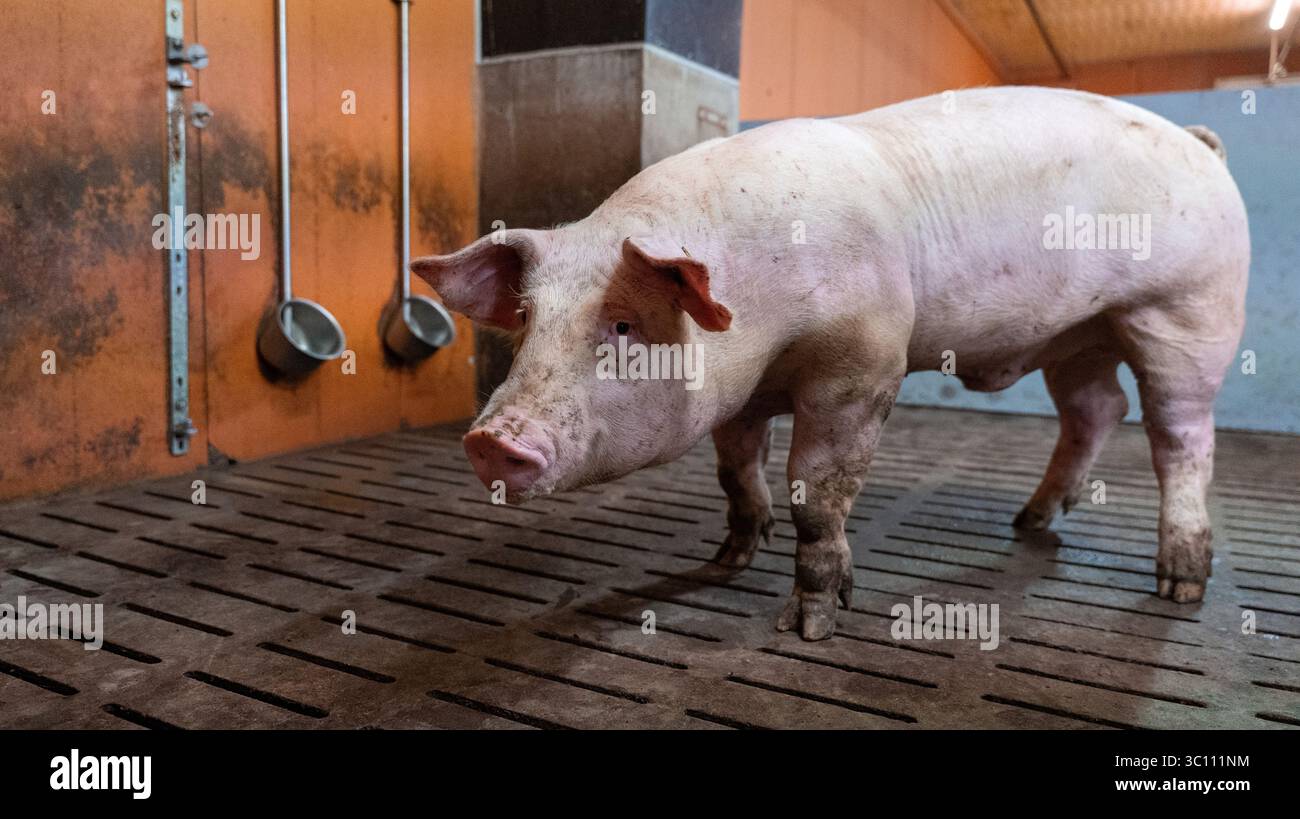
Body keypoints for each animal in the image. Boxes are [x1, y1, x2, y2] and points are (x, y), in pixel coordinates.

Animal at [413, 86, 1249, 641]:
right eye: (527, 320)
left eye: (623, 323)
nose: (490, 439)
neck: (759, 324)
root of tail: (1200, 143)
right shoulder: (741, 394)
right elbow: (736, 472)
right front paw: (728, 557)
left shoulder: (863, 364)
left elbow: (819, 493)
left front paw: (807, 623)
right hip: (1080, 333)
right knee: (1097, 407)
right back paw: (1030, 521)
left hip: (1186, 311)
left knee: (1182, 434)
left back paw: (1179, 585)